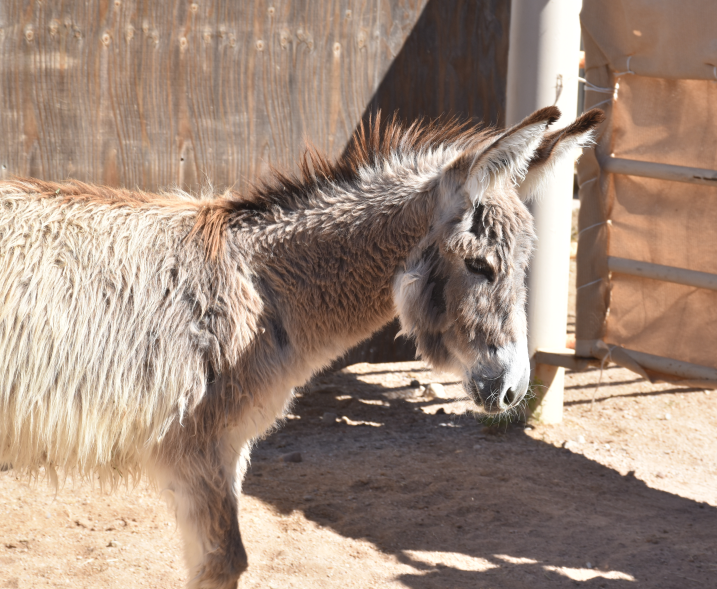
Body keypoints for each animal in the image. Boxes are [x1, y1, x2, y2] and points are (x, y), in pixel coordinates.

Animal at [0, 106, 603, 588]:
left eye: (524, 266)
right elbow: (224, 563)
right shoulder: (197, 448)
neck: (263, 290)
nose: (513, 390)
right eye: (479, 266)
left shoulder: (226, 450)